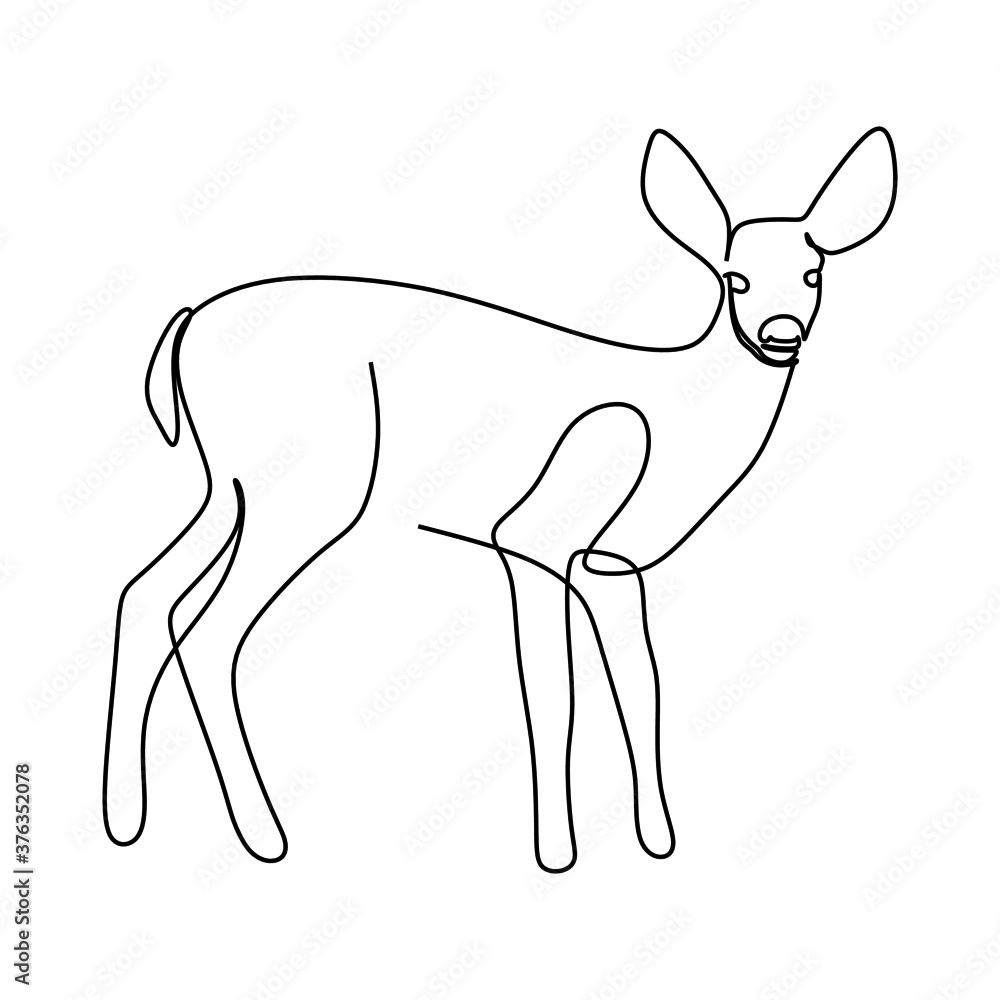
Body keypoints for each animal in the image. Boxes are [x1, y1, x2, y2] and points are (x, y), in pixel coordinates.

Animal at [103, 126, 897, 873]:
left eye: (813, 272)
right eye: (735, 278)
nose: (780, 335)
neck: (676, 416)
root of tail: (188, 321)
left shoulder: (613, 565)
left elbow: (641, 687)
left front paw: (658, 838)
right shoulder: (534, 535)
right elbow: (552, 697)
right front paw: (558, 851)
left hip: (229, 483)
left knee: (146, 593)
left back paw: (124, 820)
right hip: (313, 484)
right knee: (209, 631)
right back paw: (267, 837)